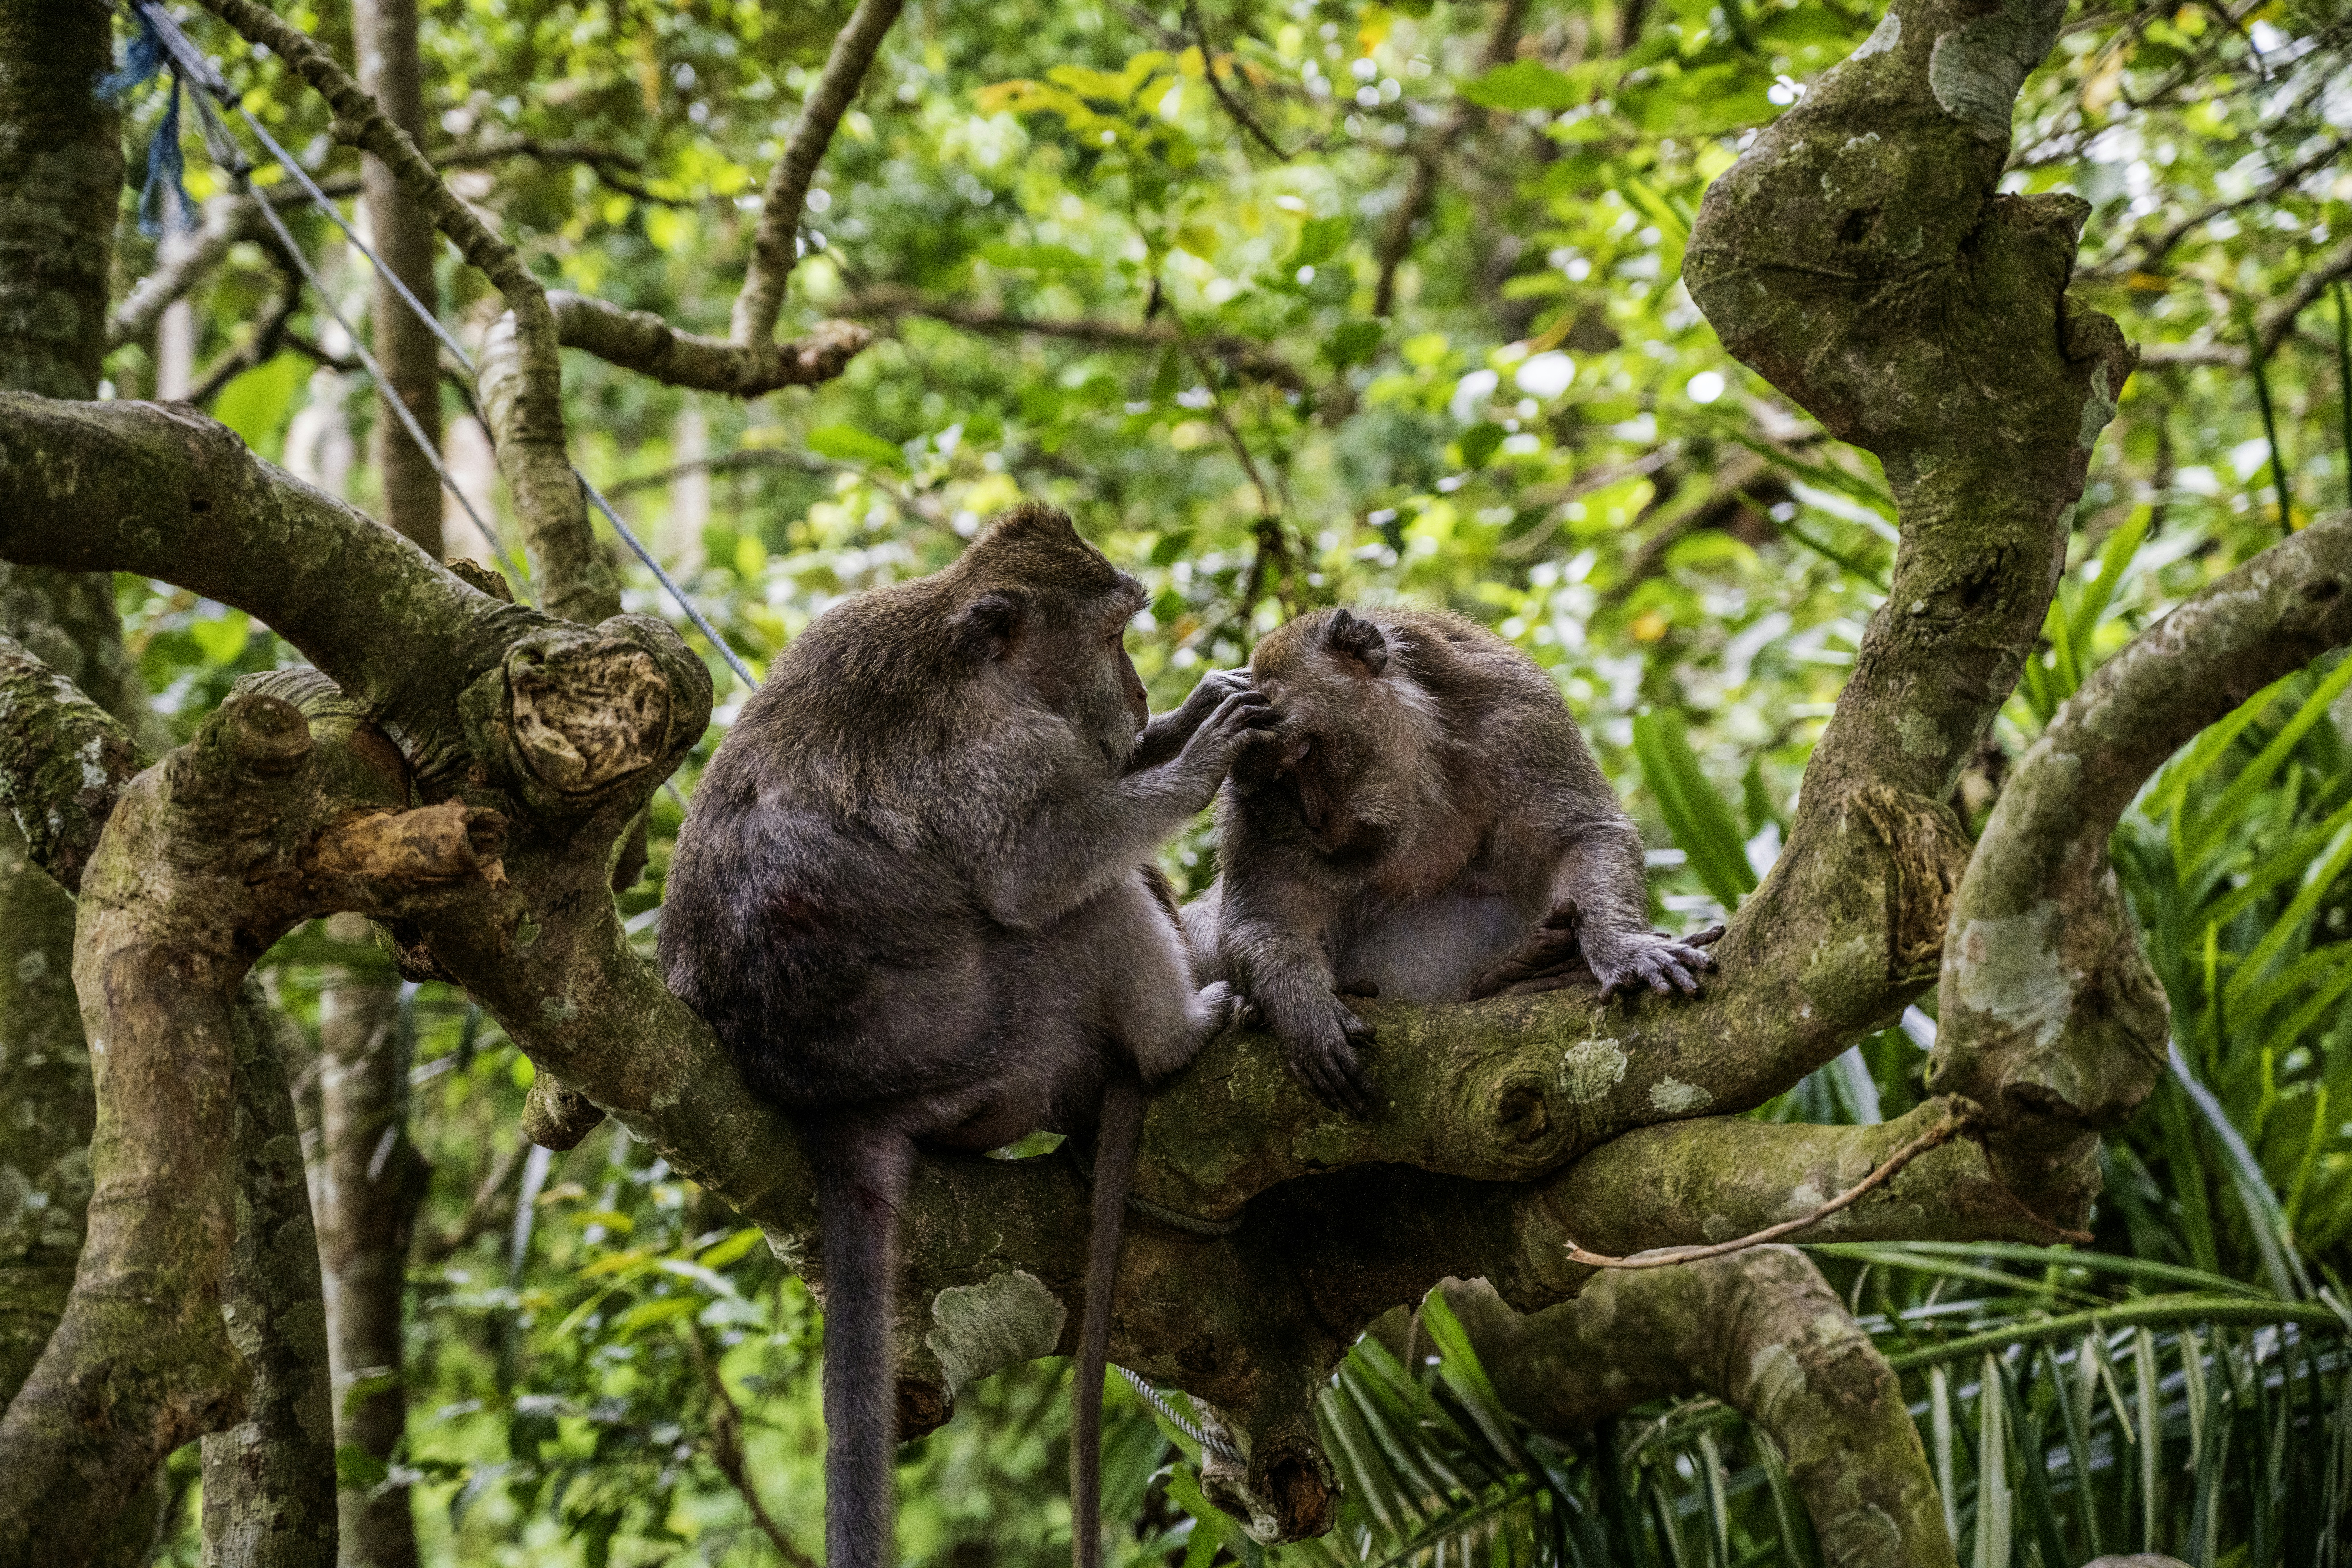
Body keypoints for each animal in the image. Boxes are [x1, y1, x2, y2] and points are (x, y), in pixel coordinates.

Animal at [658, 503, 1272, 1568]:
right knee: (1077, 910)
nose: (1139, 689)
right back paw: (1174, 1038)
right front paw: (1200, 756)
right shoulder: (989, 757)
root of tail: (834, 1106)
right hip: (989, 1049)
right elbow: (1039, 867)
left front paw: (1194, 709)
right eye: (1114, 635)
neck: (960, 646)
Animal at [1185, 606, 1720, 1115]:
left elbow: (1583, 834)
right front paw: (1306, 1013)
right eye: (1277, 780)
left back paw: (1527, 971)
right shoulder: (1251, 808)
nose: (1315, 822)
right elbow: (1265, 919)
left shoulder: (1519, 718)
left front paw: (1625, 946)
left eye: (1304, 751)